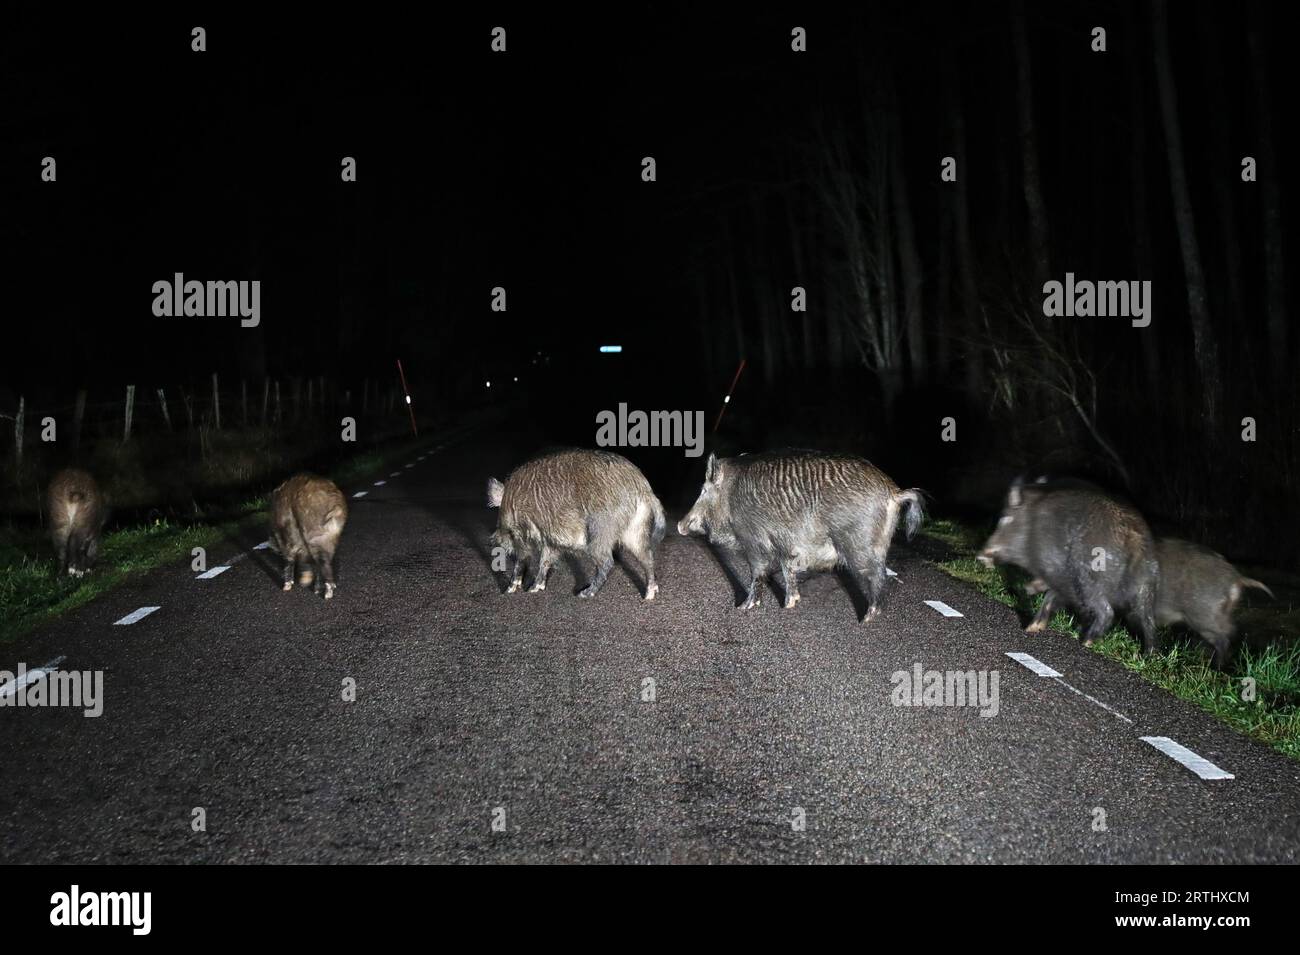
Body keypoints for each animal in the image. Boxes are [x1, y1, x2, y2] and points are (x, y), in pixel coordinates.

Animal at [487, 448, 666, 599]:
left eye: (502, 523)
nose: (492, 541)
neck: (511, 503)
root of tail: (644, 490)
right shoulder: (550, 539)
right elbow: (545, 560)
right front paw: (533, 589)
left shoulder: (522, 533)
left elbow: (523, 558)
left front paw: (509, 590)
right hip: (635, 528)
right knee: (647, 556)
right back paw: (649, 595)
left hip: (600, 531)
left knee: (607, 562)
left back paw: (584, 593)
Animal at [677, 450, 924, 622]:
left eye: (703, 490)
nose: (679, 525)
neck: (729, 498)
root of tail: (895, 493)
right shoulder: (785, 548)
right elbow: (788, 571)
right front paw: (789, 605)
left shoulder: (753, 540)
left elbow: (758, 572)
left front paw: (742, 608)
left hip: (861, 544)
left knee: (877, 576)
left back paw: (865, 620)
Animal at [978, 477, 1158, 650]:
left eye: (1005, 519)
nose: (981, 555)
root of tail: (1134, 540)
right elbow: (1050, 597)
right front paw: (1032, 627)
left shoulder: (1056, 568)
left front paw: (1030, 592)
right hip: (1145, 588)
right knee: (1148, 623)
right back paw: (1148, 654)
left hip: (1090, 581)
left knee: (1106, 611)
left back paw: (1085, 642)